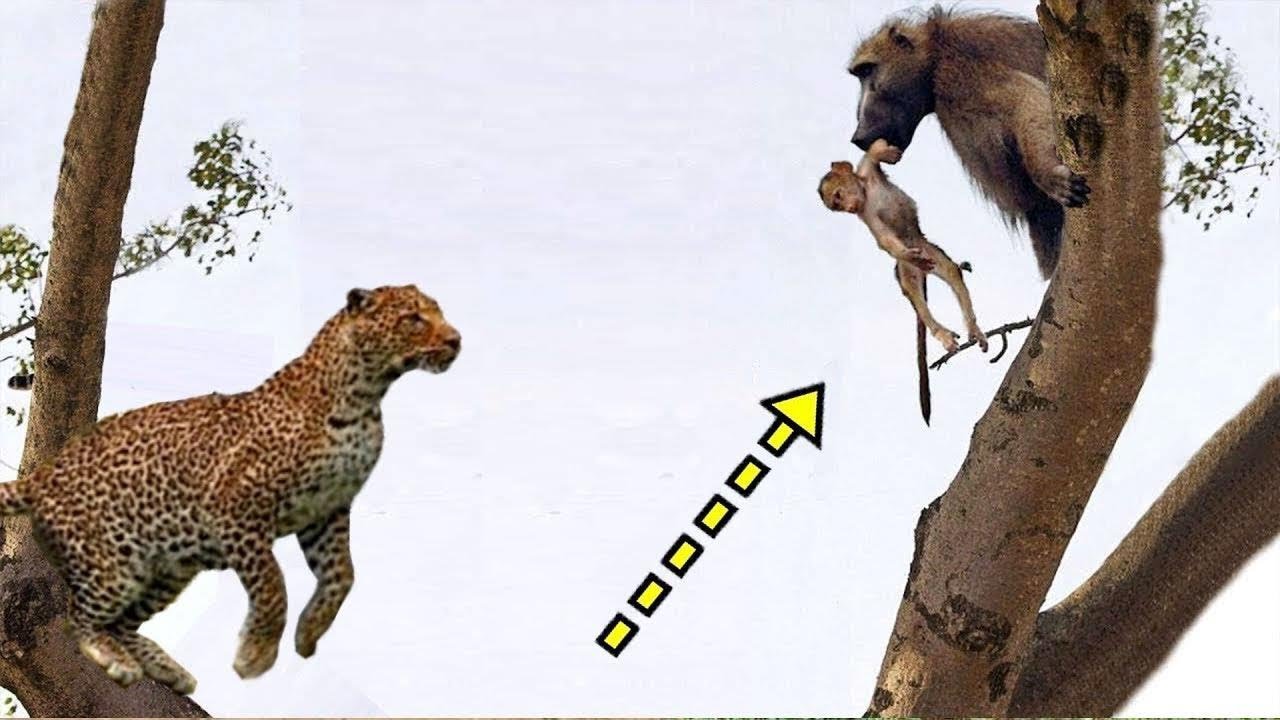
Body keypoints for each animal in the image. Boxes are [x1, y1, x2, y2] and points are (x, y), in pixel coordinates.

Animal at [0, 284, 460, 694]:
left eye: (438, 312)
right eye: (413, 319)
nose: (456, 340)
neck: (363, 394)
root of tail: (43, 475)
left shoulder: (326, 510)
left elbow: (342, 575)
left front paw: (309, 632)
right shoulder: (237, 511)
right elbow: (273, 585)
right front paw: (255, 656)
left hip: (167, 567)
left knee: (121, 623)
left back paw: (168, 670)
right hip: (113, 566)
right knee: (78, 617)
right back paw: (117, 660)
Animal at [819, 139, 987, 423]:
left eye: (838, 196)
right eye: (836, 206)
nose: (849, 208)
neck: (866, 191)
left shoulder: (867, 170)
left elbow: (871, 154)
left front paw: (884, 151)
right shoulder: (867, 215)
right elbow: (885, 241)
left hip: (927, 248)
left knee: (952, 272)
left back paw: (973, 327)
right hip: (908, 267)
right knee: (913, 289)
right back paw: (940, 332)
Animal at [847, 6, 1090, 279]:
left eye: (867, 70)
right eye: (860, 74)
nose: (858, 136)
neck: (936, 51)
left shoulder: (960, 75)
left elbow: (1027, 101)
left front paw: (1049, 174)